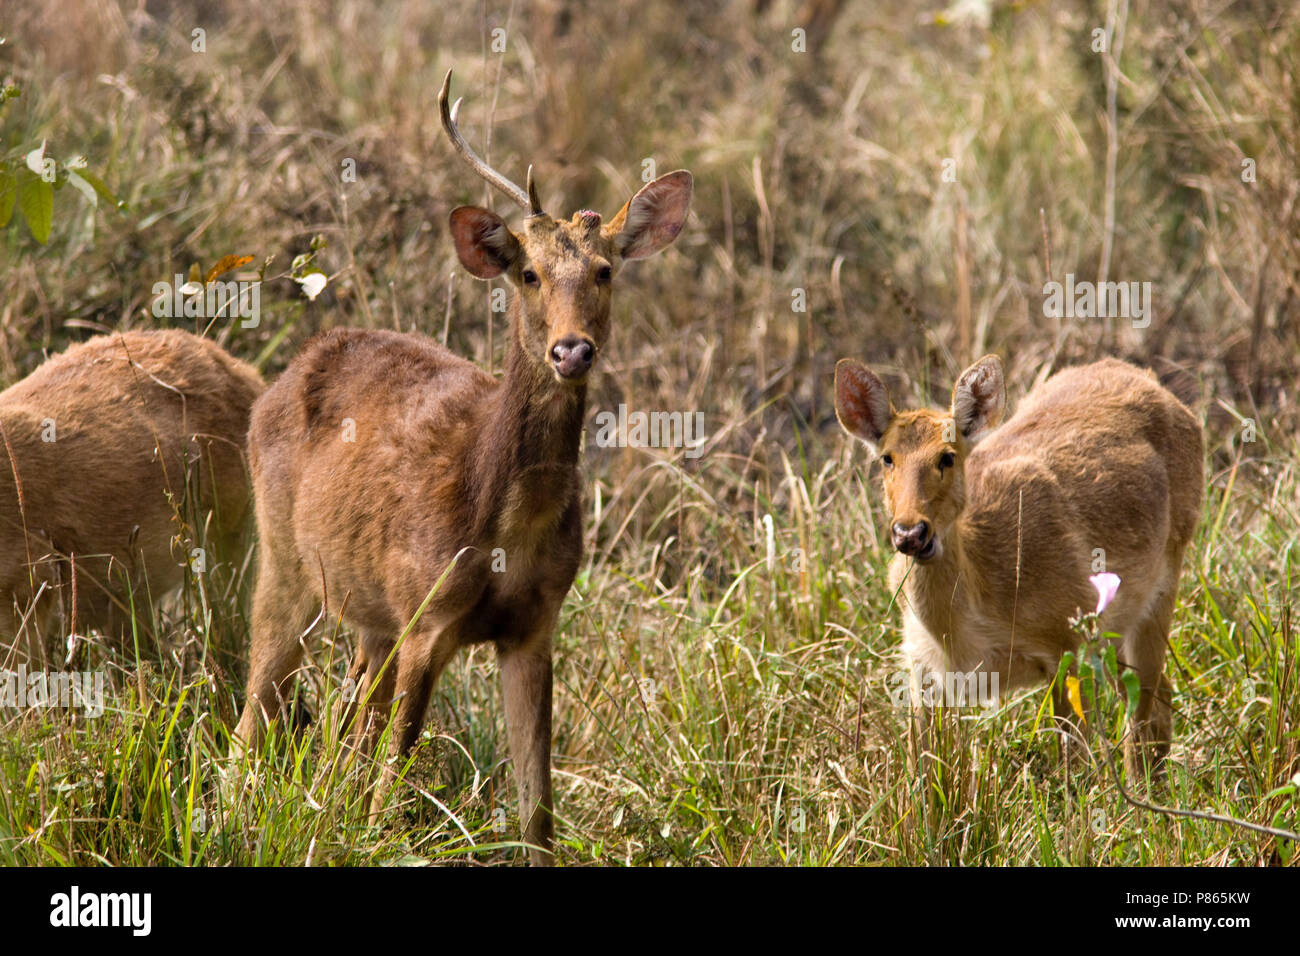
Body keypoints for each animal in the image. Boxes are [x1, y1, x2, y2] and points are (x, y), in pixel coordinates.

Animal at [232, 70, 692, 865]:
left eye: (606, 270)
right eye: (529, 273)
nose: (572, 349)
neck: (504, 524)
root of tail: (286, 373)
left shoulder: (536, 623)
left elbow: (537, 810)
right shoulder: (426, 611)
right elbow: (392, 785)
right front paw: (376, 837)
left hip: (368, 613)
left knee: (347, 723)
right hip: (286, 560)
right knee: (255, 714)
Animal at [834, 354, 1202, 777]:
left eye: (947, 456)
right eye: (887, 458)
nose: (910, 533)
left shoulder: (1066, 640)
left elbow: (1072, 764)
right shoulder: (917, 664)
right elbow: (920, 770)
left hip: (1164, 576)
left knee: (1143, 706)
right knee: (1159, 695)